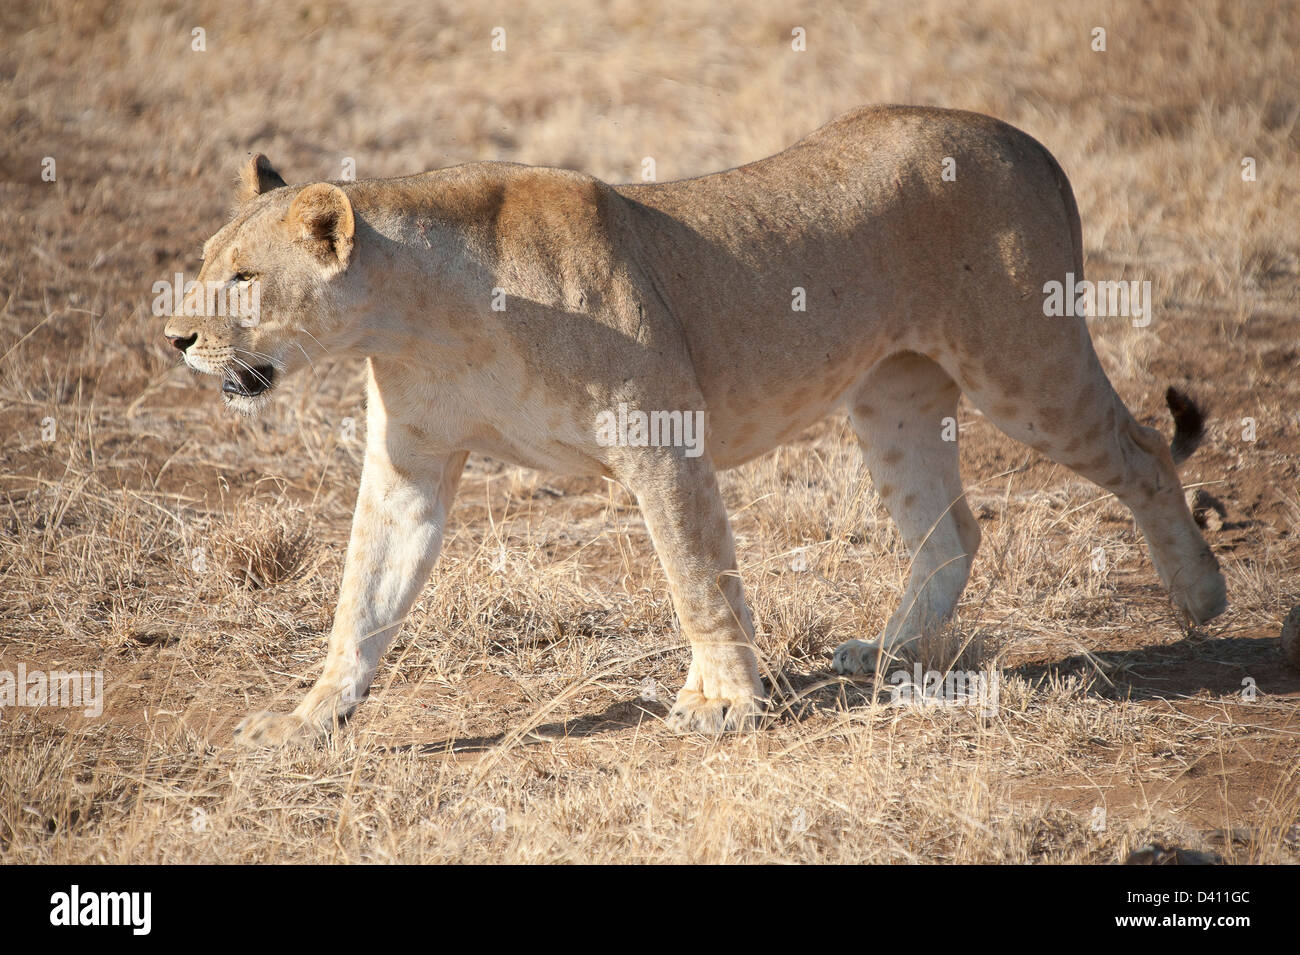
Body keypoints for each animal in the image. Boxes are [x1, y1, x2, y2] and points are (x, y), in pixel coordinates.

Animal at [162, 105, 1227, 745]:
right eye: (205, 260)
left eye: (244, 279)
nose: (175, 338)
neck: (417, 311)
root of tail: (1029, 141)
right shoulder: (408, 465)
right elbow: (362, 599)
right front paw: (306, 719)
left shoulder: (661, 441)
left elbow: (696, 574)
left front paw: (721, 702)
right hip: (893, 398)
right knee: (952, 530)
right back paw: (884, 654)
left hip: (1023, 363)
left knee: (1142, 453)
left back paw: (1201, 597)